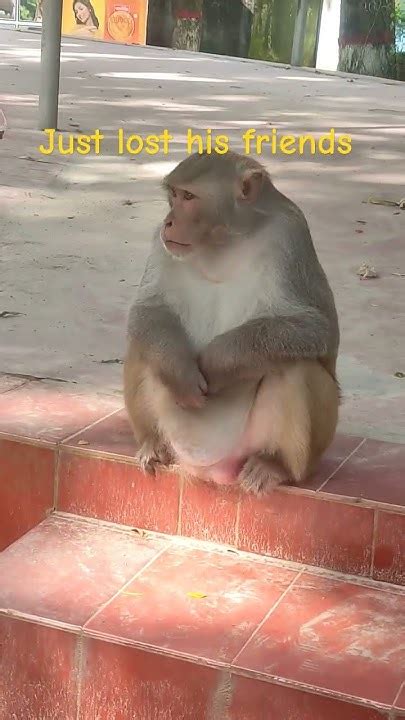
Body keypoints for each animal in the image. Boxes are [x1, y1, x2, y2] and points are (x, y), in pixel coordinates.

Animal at [123, 150, 340, 496]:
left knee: (296, 365)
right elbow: (148, 308)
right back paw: (153, 444)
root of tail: (213, 472)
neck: (226, 241)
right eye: (173, 195)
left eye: (188, 197)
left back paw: (277, 466)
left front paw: (217, 362)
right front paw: (179, 370)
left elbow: (317, 329)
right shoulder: (161, 243)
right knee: (142, 346)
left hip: (258, 444)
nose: (169, 221)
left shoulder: (290, 233)